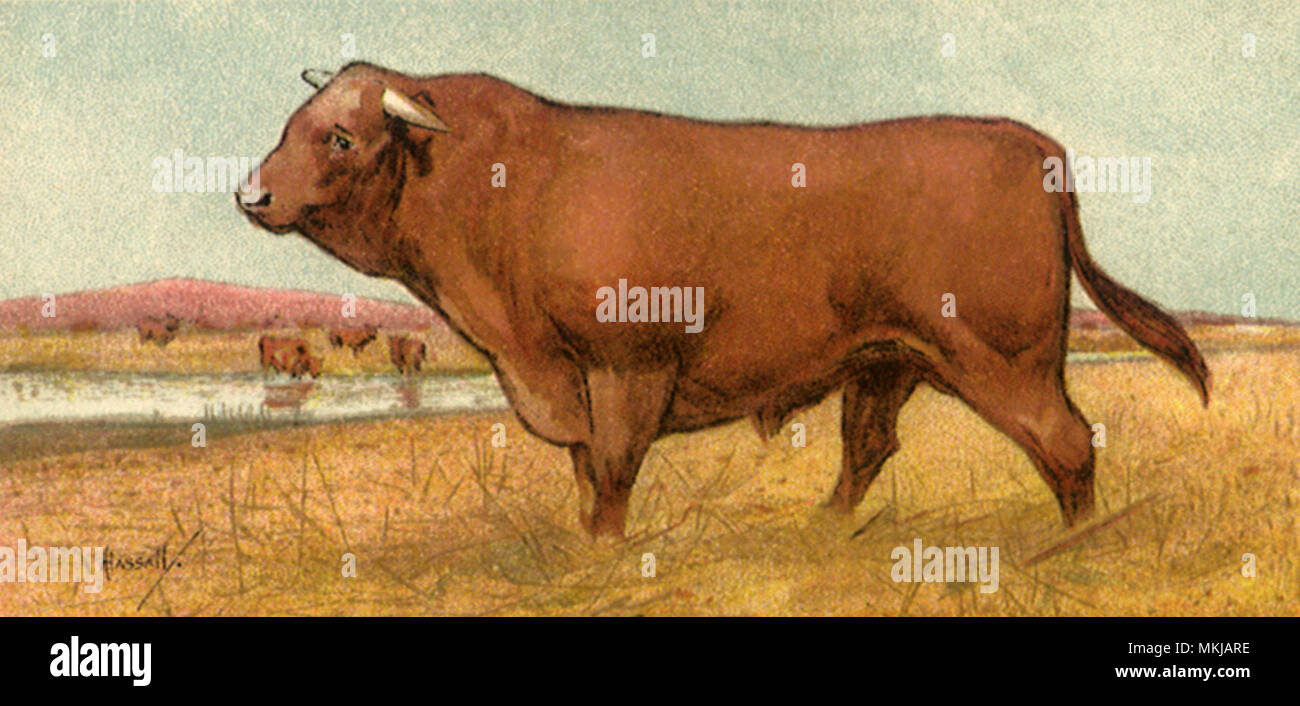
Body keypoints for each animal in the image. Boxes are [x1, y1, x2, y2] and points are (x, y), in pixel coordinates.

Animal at [237, 63, 1210, 539]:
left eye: (340, 135)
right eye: (293, 124)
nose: (251, 193)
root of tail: (1035, 145)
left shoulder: (626, 370)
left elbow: (614, 471)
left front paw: (605, 551)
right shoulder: (569, 382)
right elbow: (586, 470)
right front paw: (588, 543)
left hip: (1005, 359)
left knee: (1066, 442)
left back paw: (1077, 545)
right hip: (887, 361)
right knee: (868, 448)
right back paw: (823, 532)